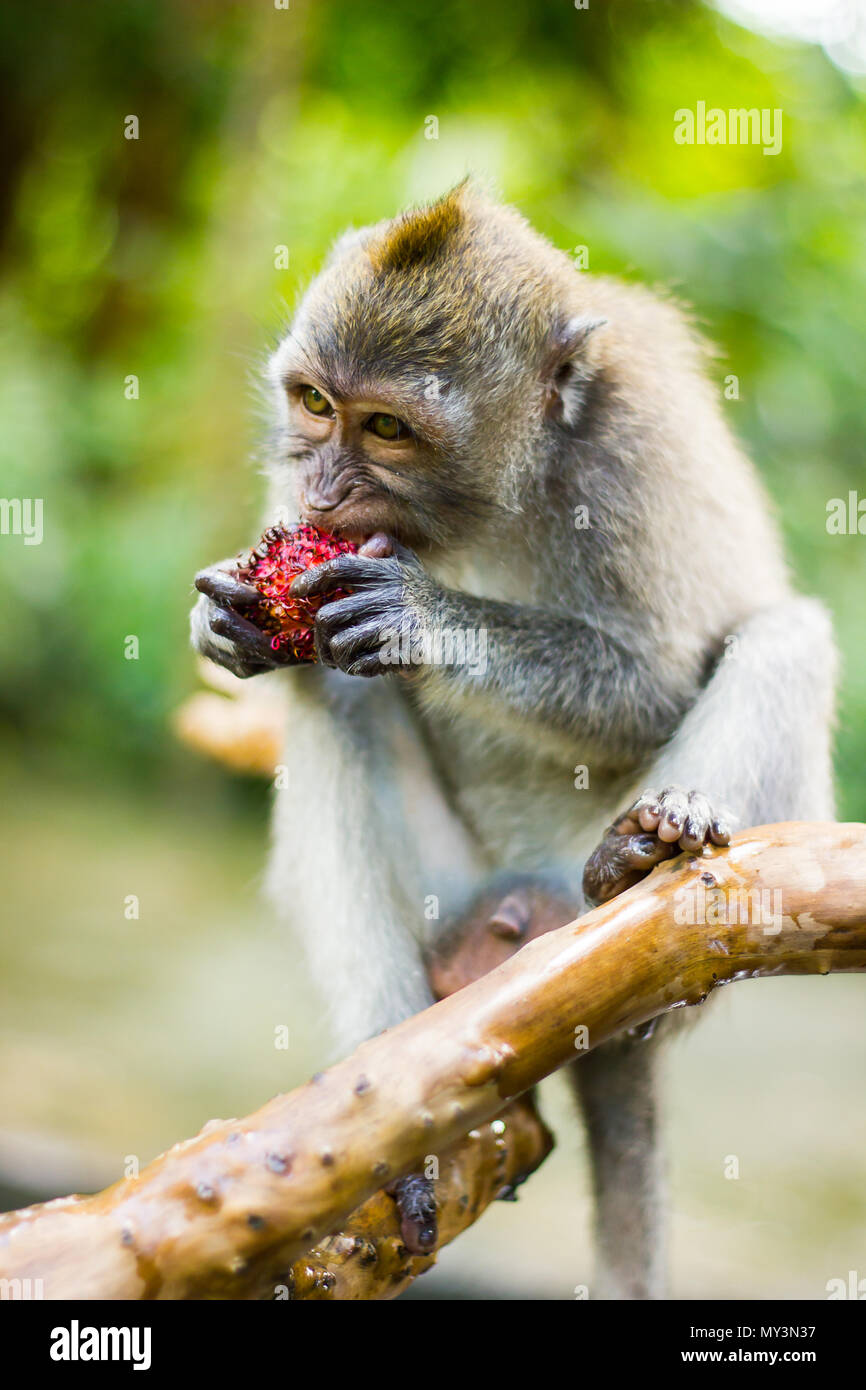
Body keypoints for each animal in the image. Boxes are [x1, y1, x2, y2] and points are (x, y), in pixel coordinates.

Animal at [190, 181, 836, 1298]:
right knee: (333, 690)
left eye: (387, 427)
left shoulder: (632, 450)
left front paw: (426, 619)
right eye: (313, 404)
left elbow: (652, 684)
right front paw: (226, 620)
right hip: (452, 894)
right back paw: (382, 1071)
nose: (320, 493)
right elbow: (299, 658)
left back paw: (634, 864)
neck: (482, 509)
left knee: (785, 636)